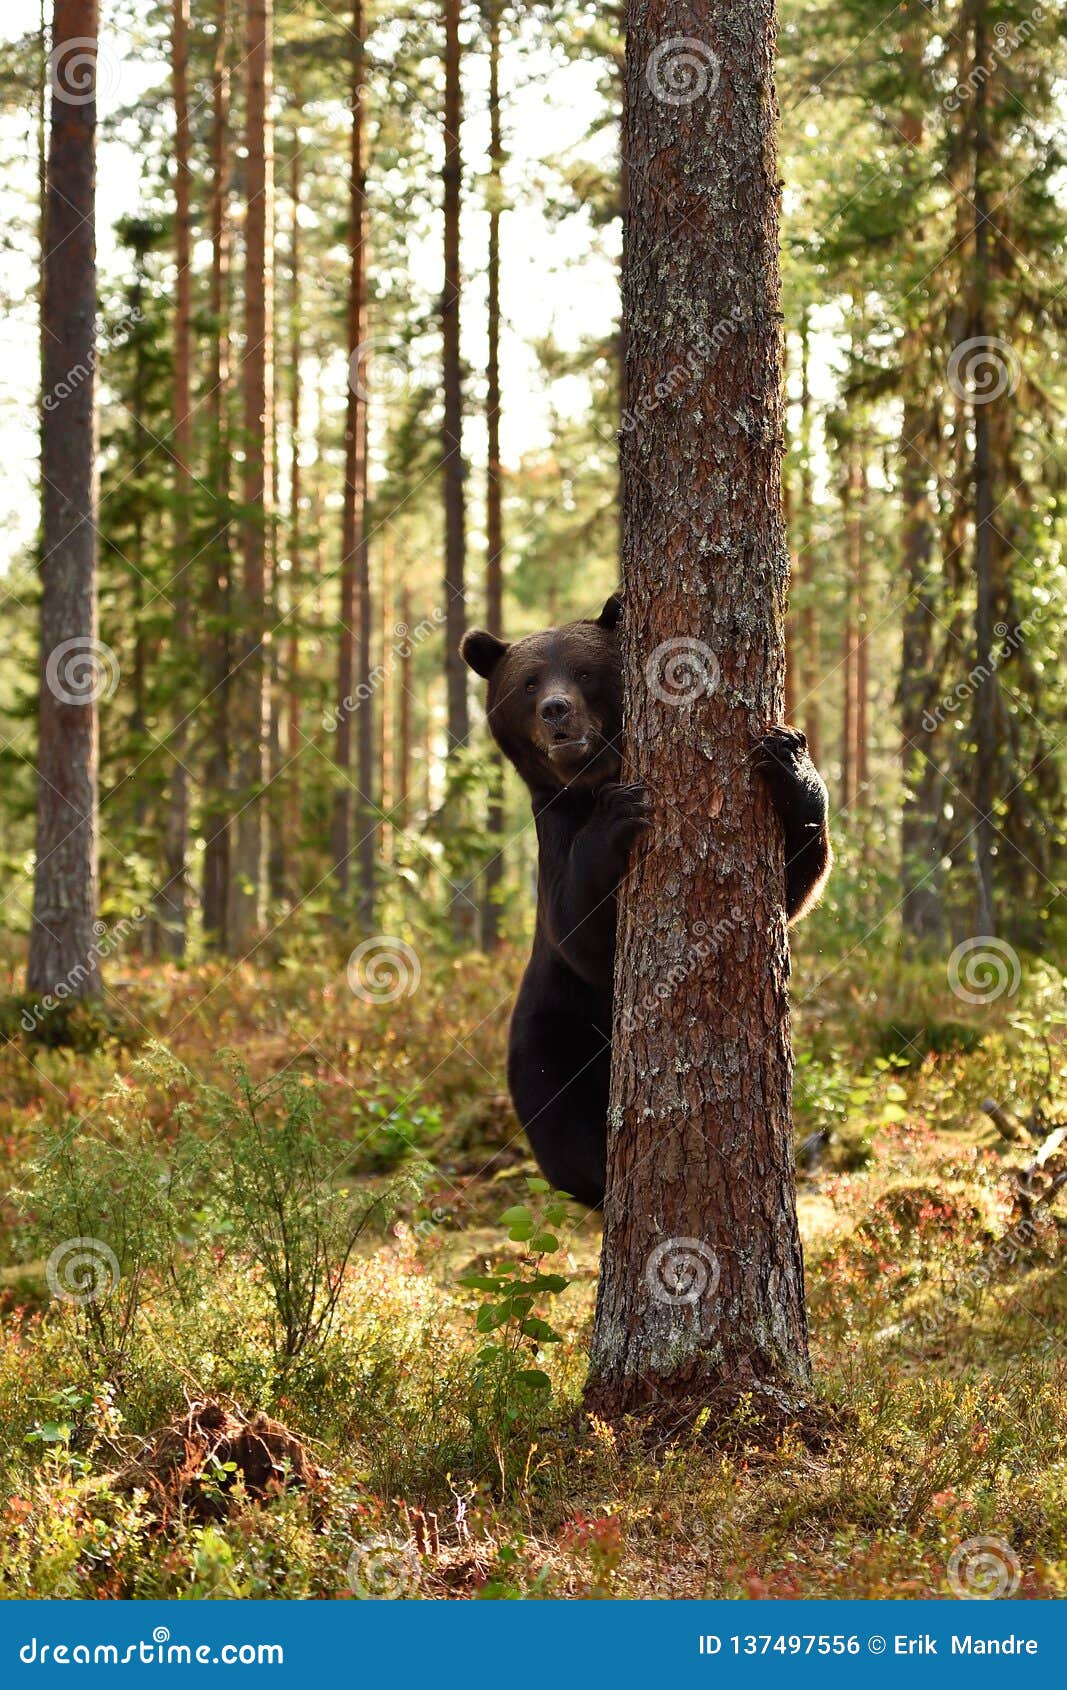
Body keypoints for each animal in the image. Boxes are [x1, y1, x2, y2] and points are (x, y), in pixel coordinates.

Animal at [461, 593, 831, 1209]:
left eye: (584, 672)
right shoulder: (556, 846)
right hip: (550, 1030)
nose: (557, 711)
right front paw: (620, 814)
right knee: (558, 1112)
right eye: (530, 683)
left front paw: (791, 765)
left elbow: (792, 883)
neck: (591, 781)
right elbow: (579, 929)